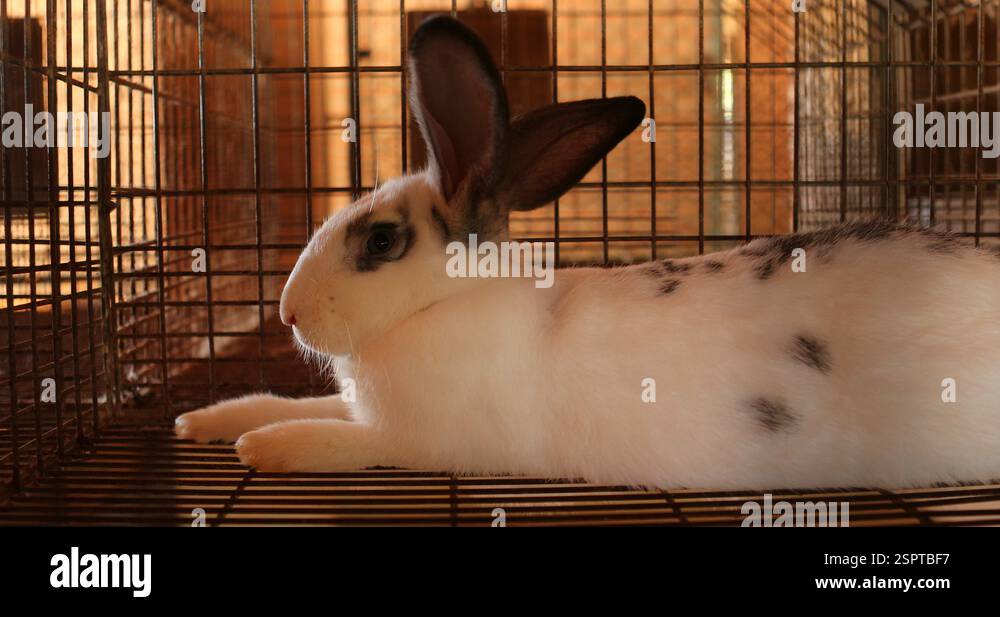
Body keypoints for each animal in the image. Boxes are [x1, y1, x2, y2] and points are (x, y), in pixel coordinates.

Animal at [175, 15, 1000, 489]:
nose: (287, 313)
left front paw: (264, 446)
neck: (447, 302)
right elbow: (300, 399)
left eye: (380, 240)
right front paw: (211, 419)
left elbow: (335, 439)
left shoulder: (409, 438)